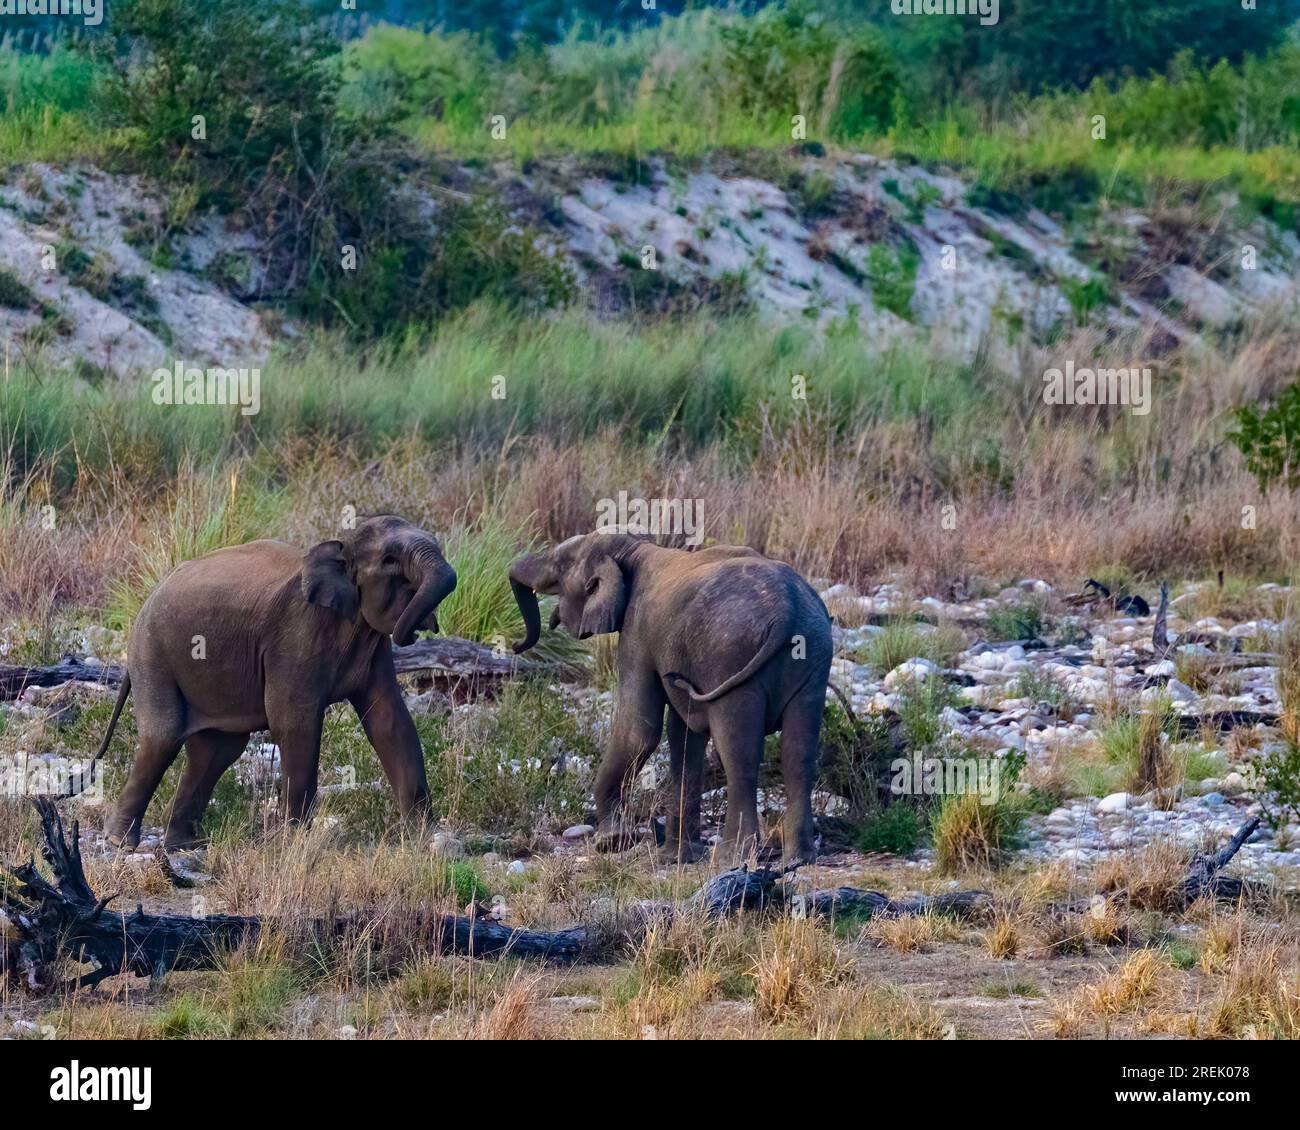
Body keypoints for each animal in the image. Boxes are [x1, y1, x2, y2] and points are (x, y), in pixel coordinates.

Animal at [97, 515, 457, 851]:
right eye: (390, 560)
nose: (421, 629)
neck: (339, 545)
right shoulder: (295, 636)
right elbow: (295, 724)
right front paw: (295, 842)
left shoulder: (374, 648)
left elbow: (390, 722)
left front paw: (427, 841)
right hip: (152, 654)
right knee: (164, 738)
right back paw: (120, 841)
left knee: (217, 750)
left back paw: (183, 844)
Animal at [509, 532, 832, 865]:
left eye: (559, 567)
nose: (516, 645)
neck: (630, 550)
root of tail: (786, 610)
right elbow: (683, 736)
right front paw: (675, 857)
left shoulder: (637, 633)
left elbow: (639, 731)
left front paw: (611, 842)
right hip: (814, 656)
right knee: (798, 752)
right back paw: (799, 859)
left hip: (732, 657)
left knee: (739, 751)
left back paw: (730, 858)